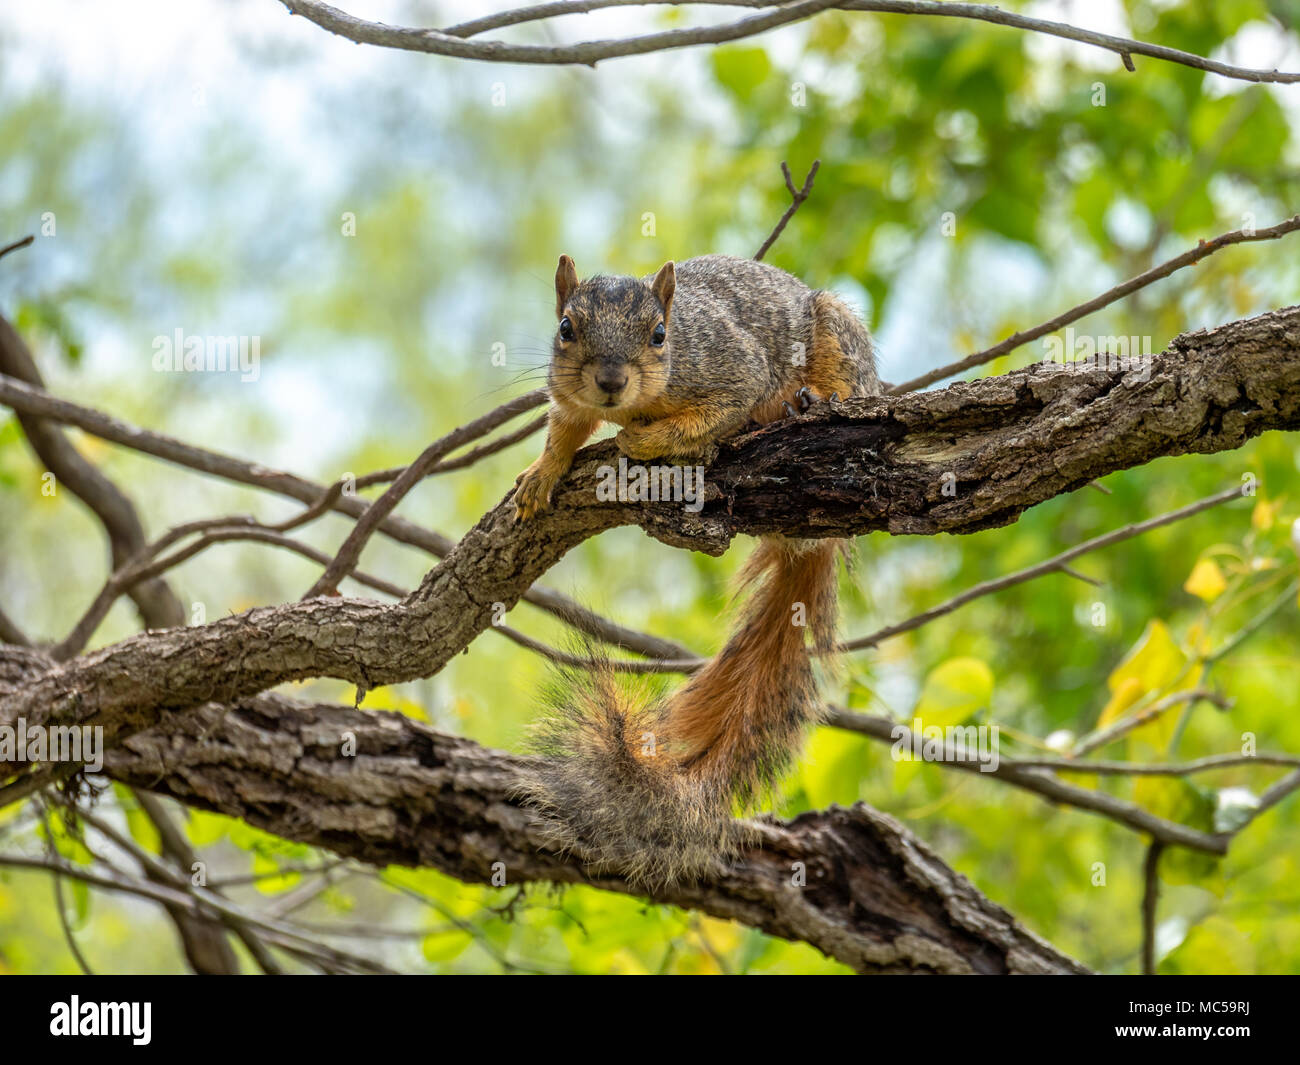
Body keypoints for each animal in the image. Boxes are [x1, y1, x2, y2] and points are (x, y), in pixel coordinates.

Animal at [514, 253, 880, 886]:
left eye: (661, 335)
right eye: (565, 328)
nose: (610, 382)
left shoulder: (734, 373)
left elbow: (708, 417)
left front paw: (642, 439)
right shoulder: (568, 392)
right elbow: (564, 429)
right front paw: (541, 474)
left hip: (838, 338)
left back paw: (808, 401)